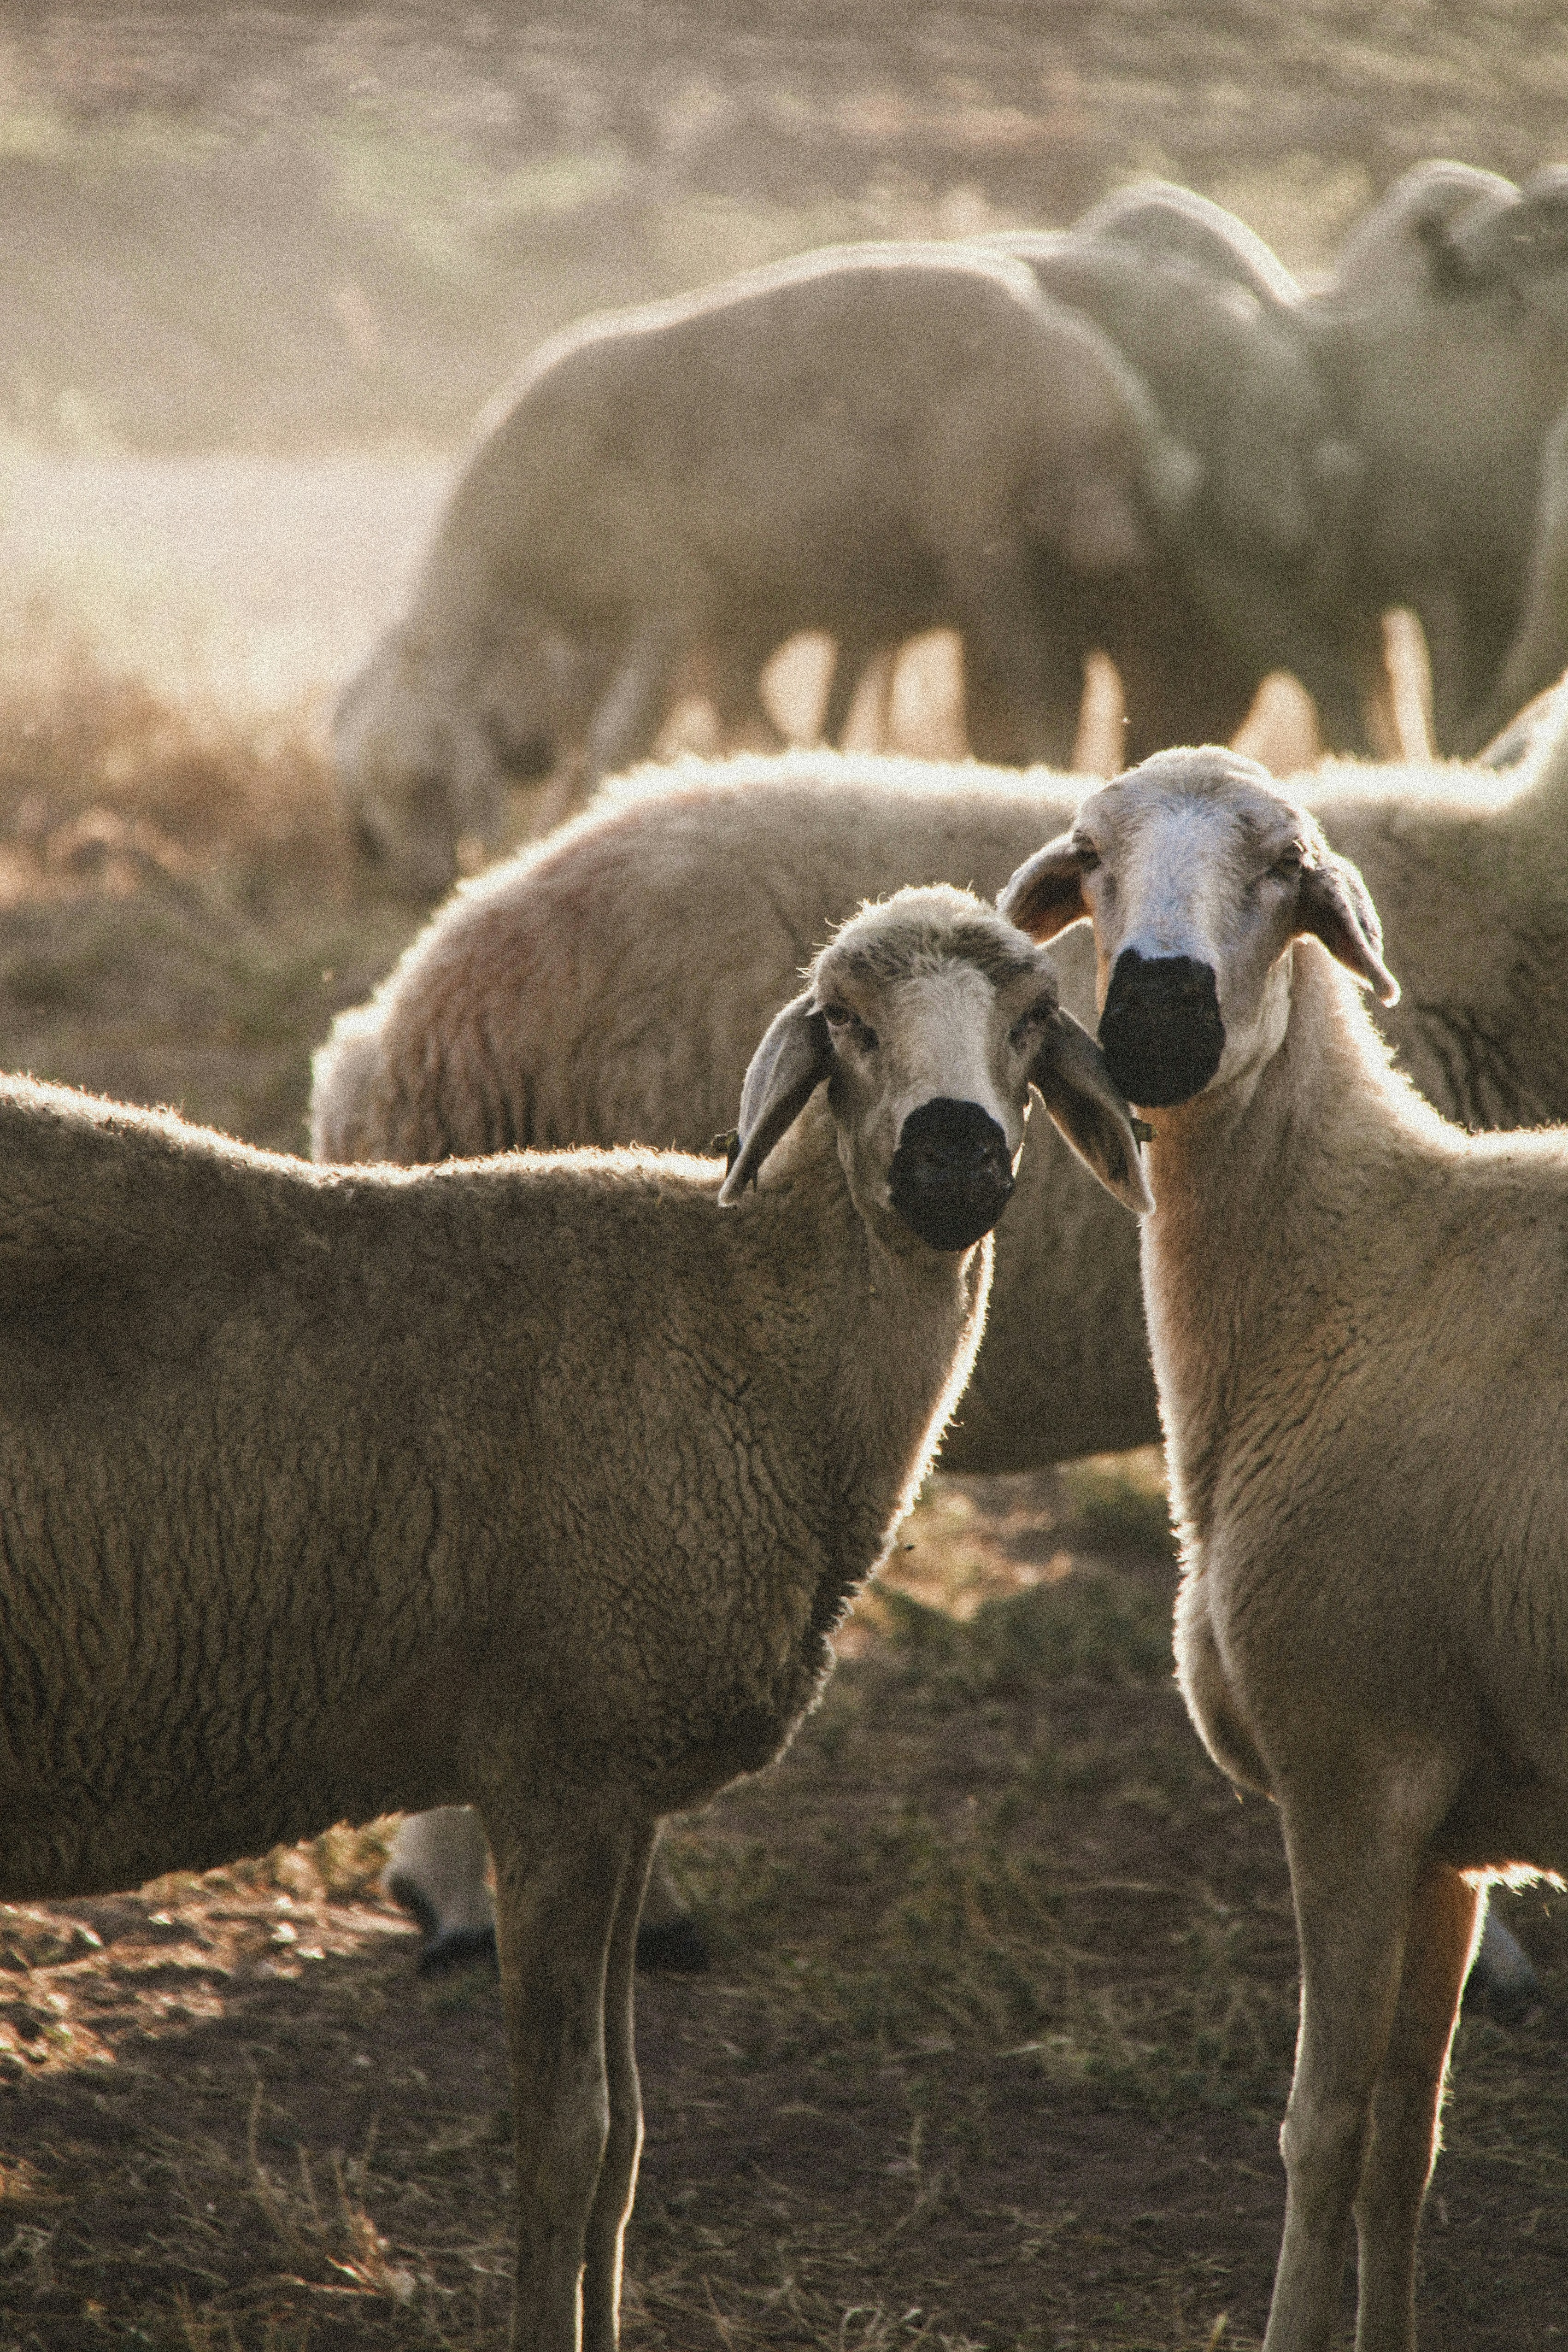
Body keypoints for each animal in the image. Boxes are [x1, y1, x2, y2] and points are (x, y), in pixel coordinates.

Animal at [0, 886, 1148, 2352]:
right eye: (843, 1020)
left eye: (1036, 1018)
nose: (952, 1159)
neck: (745, 1324)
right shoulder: (554, 1773)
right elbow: (567, 2142)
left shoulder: (627, 1790)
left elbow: (627, 2143)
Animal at [332, 239, 1196, 894]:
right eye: (368, 805)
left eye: (428, 780)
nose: (416, 889)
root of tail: (1094, 367)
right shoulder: (713, 619)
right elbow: (728, 713)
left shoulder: (669, 601)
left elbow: (614, 738)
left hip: (985, 537)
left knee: (1037, 683)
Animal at [999, 745, 1567, 2352]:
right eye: (1089, 856)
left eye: (1286, 866)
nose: (1158, 1006)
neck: (1358, 1260)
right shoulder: (1448, 1829)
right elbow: (1403, 2141)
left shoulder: (1351, 1770)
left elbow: (1319, 2131)